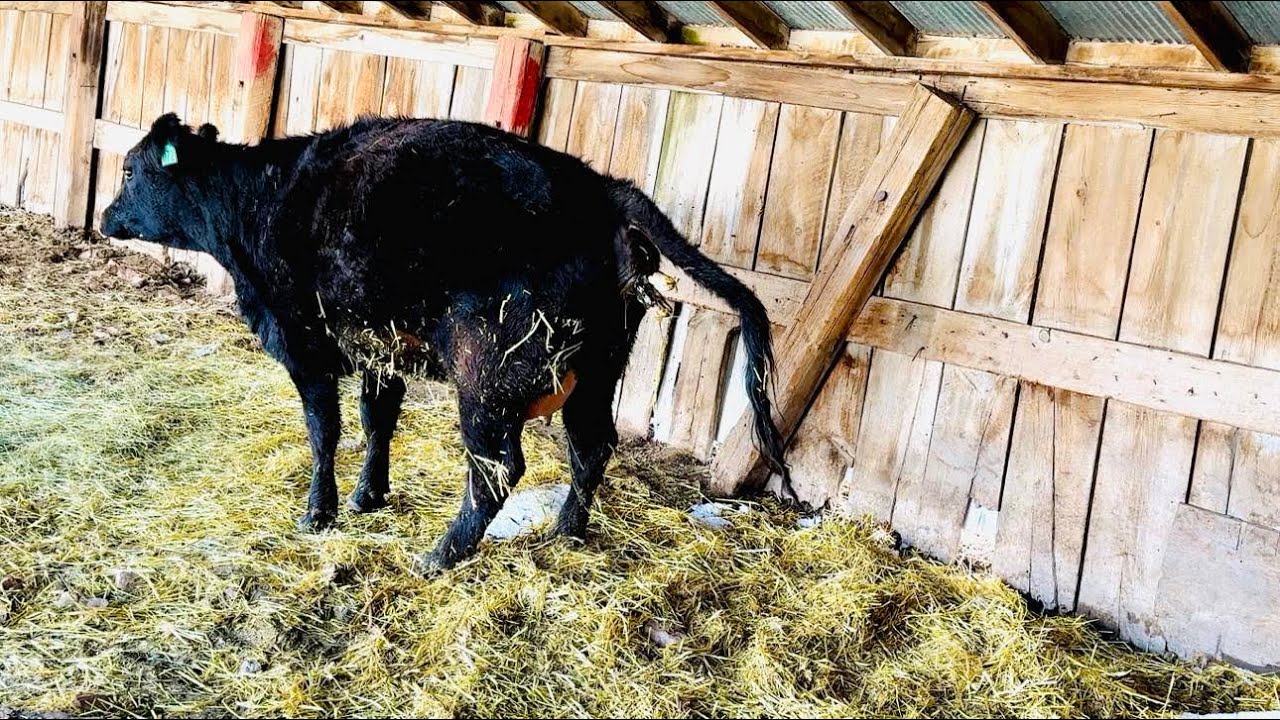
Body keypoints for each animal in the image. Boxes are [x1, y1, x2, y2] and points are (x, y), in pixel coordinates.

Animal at [100, 112, 790, 571]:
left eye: (130, 170)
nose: (106, 218)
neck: (256, 201)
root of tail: (599, 185)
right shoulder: (380, 348)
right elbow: (376, 421)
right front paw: (368, 496)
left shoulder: (304, 344)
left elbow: (324, 431)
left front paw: (318, 511)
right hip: (595, 372)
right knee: (592, 447)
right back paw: (566, 532)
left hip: (490, 376)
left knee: (498, 468)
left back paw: (443, 553)